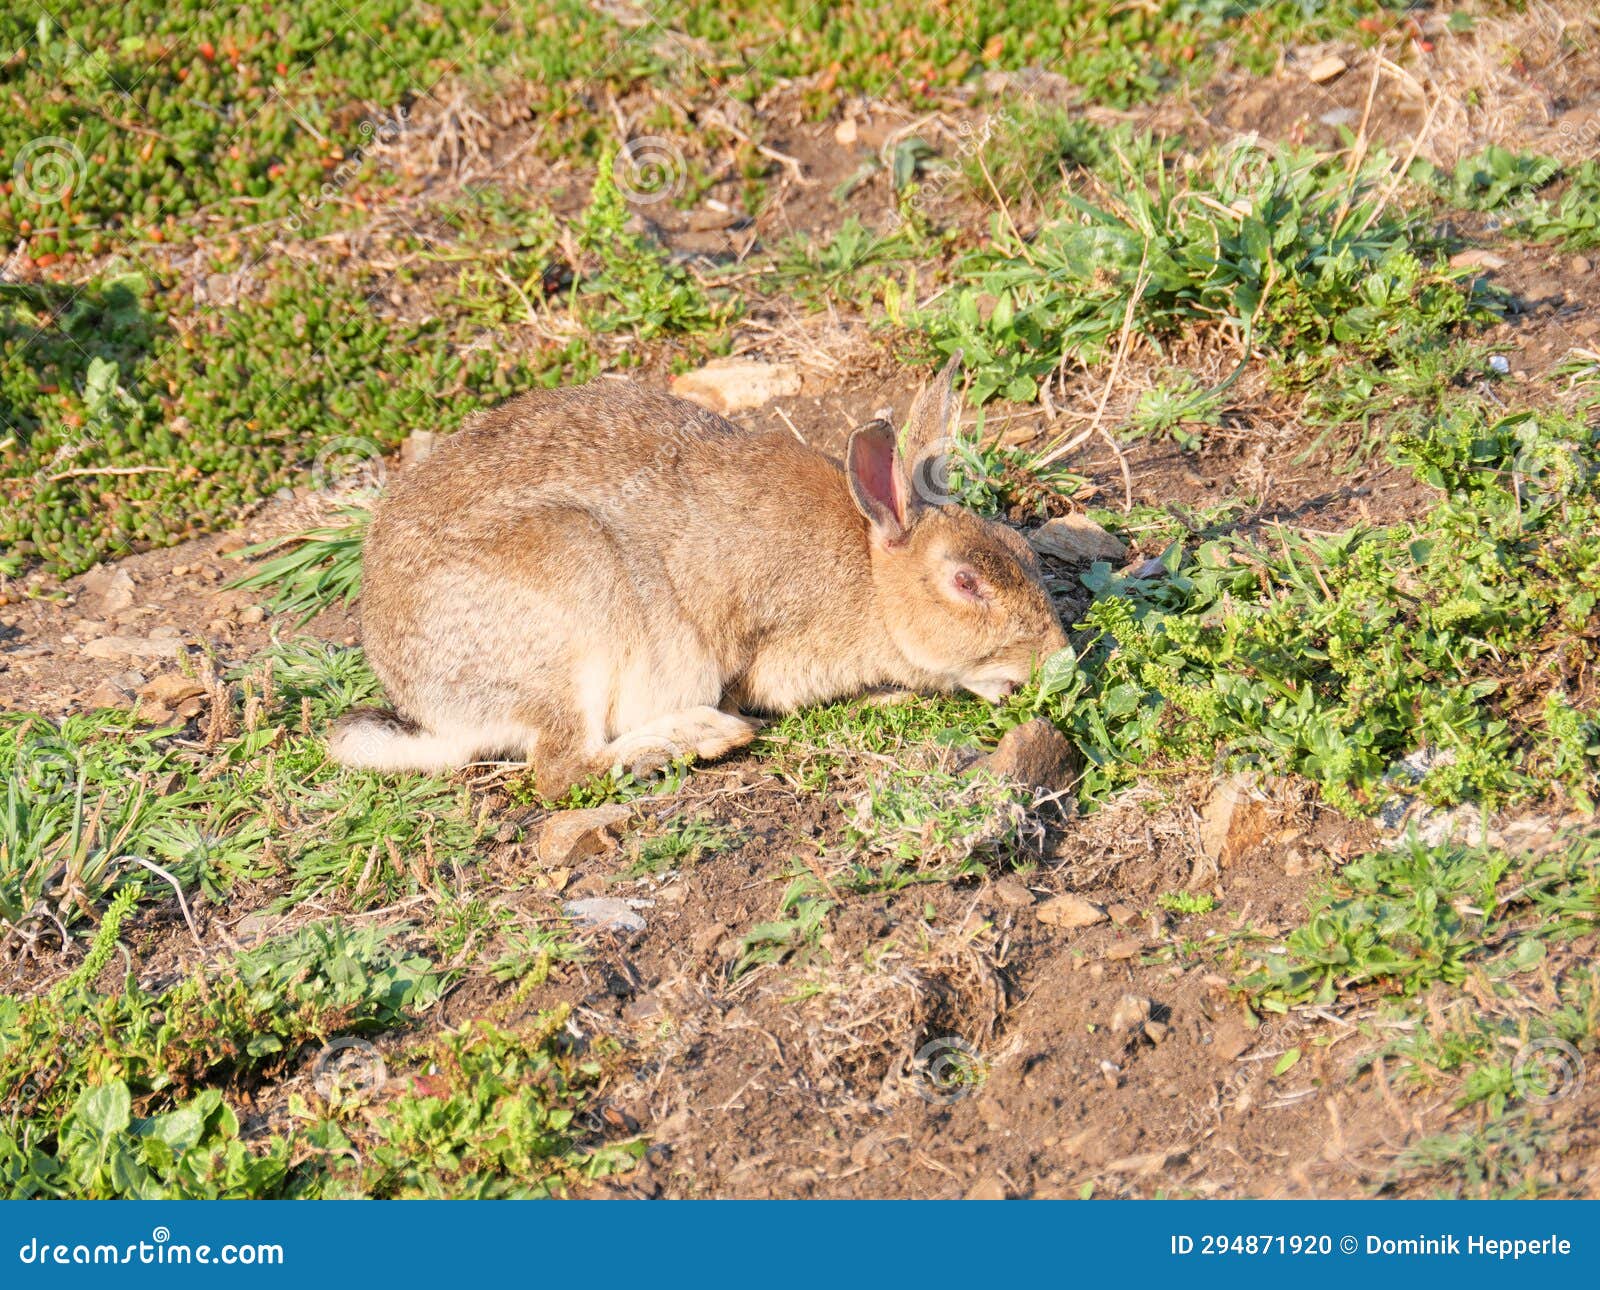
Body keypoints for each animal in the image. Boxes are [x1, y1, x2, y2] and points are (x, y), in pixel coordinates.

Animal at [328, 354, 1068, 792]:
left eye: (1020, 548)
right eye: (965, 583)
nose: (1058, 660)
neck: (869, 571)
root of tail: (430, 704)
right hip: (574, 601)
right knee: (562, 768)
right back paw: (702, 738)